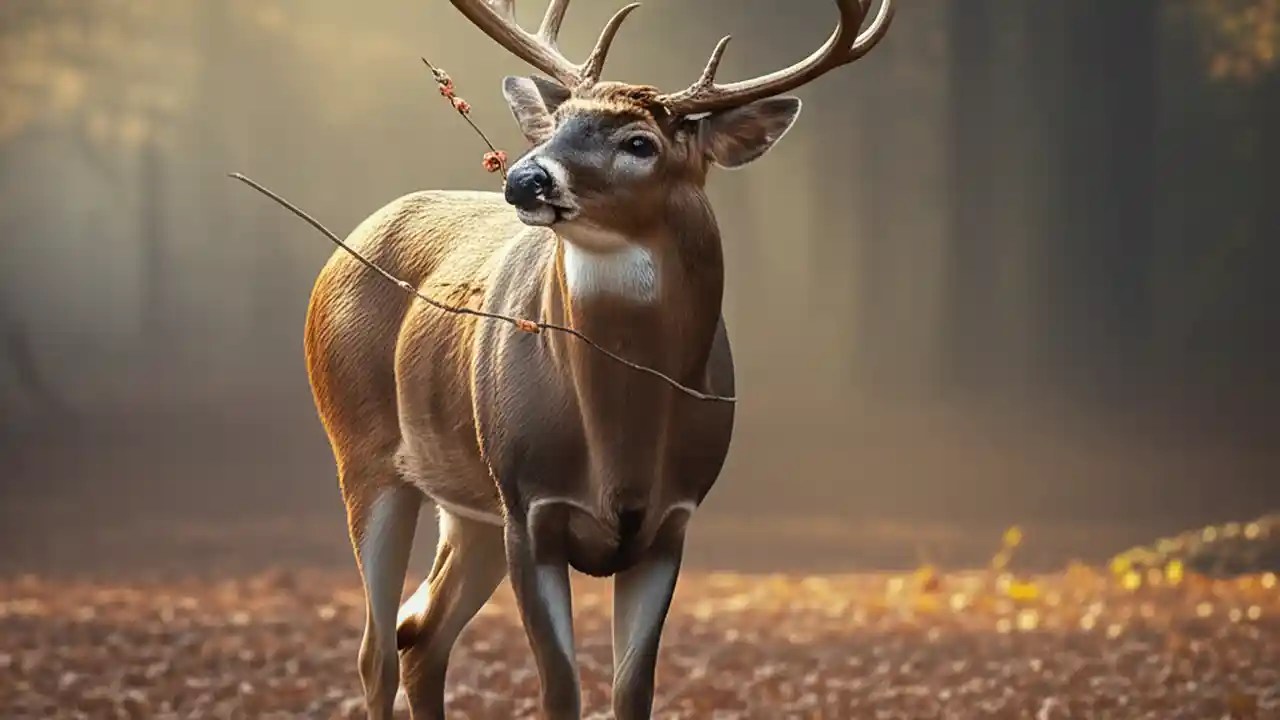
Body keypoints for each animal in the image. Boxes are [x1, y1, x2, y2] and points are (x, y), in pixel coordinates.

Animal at [302, 1, 893, 717]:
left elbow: (632, 688)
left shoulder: (670, 523)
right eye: (558, 125)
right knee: (378, 650)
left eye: (640, 143)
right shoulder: (530, 506)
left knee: (422, 638)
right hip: (363, 453)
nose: (524, 176)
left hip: (470, 507)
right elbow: (561, 687)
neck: (619, 448)